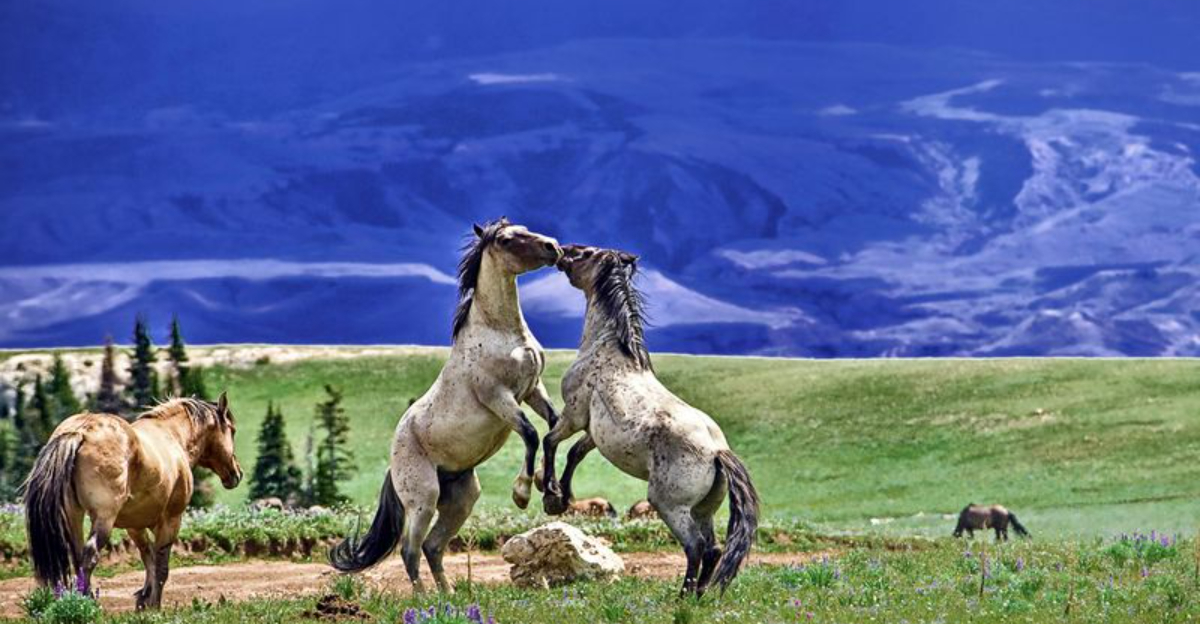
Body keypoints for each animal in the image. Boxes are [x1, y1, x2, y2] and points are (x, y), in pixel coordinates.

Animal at [23, 395, 242, 609]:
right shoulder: (171, 520)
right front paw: (154, 605)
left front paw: (144, 599)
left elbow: (148, 557)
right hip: (104, 518)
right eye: (232, 430)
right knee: (90, 555)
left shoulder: (135, 526)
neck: (172, 436)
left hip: (73, 515)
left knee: (77, 557)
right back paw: (87, 603)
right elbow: (161, 566)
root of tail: (81, 431)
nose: (237, 473)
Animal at [330, 218, 562, 593]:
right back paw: (423, 597)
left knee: (432, 546)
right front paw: (523, 492)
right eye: (507, 239)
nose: (553, 247)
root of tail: (393, 466)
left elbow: (553, 428)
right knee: (410, 549)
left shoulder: (532, 389)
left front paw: (551, 490)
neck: (501, 332)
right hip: (423, 499)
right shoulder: (498, 396)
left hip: (460, 499)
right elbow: (529, 433)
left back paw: (447, 592)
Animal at [541, 244, 760, 597]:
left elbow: (551, 442)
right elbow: (575, 453)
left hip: (668, 505)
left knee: (696, 547)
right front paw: (563, 498)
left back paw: (683, 596)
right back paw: (699, 595)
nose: (562, 251)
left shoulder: (574, 415)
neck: (606, 351)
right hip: (703, 509)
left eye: (586, 253)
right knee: (713, 549)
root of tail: (717, 452)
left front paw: (552, 496)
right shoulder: (594, 432)